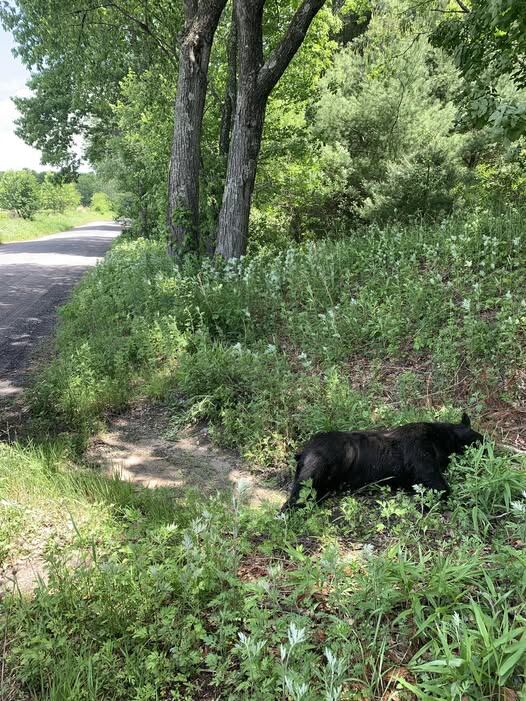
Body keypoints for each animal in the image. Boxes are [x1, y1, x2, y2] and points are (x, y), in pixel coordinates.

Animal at [282, 413, 483, 511]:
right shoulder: (423, 463)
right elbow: (443, 489)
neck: (442, 440)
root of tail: (302, 453)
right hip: (317, 468)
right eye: (479, 439)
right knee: (294, 498)